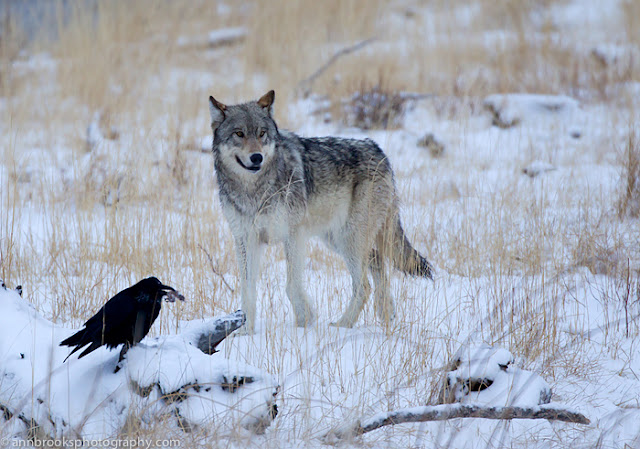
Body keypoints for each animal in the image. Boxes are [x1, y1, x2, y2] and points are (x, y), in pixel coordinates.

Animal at [208, 90, 433, 332]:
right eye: (239, 133)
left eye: (262, 133)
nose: (256, 157)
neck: (254, 190)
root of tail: (378, 149)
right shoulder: (245, 240)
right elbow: (247, 290)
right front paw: (245, 332)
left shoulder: (294, 236)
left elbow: (292, 285)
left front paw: (304, 323)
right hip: (337, 239)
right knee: (377, 260)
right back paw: (385, 313)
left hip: (348, 239)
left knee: (364, 285)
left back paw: (343, 325)